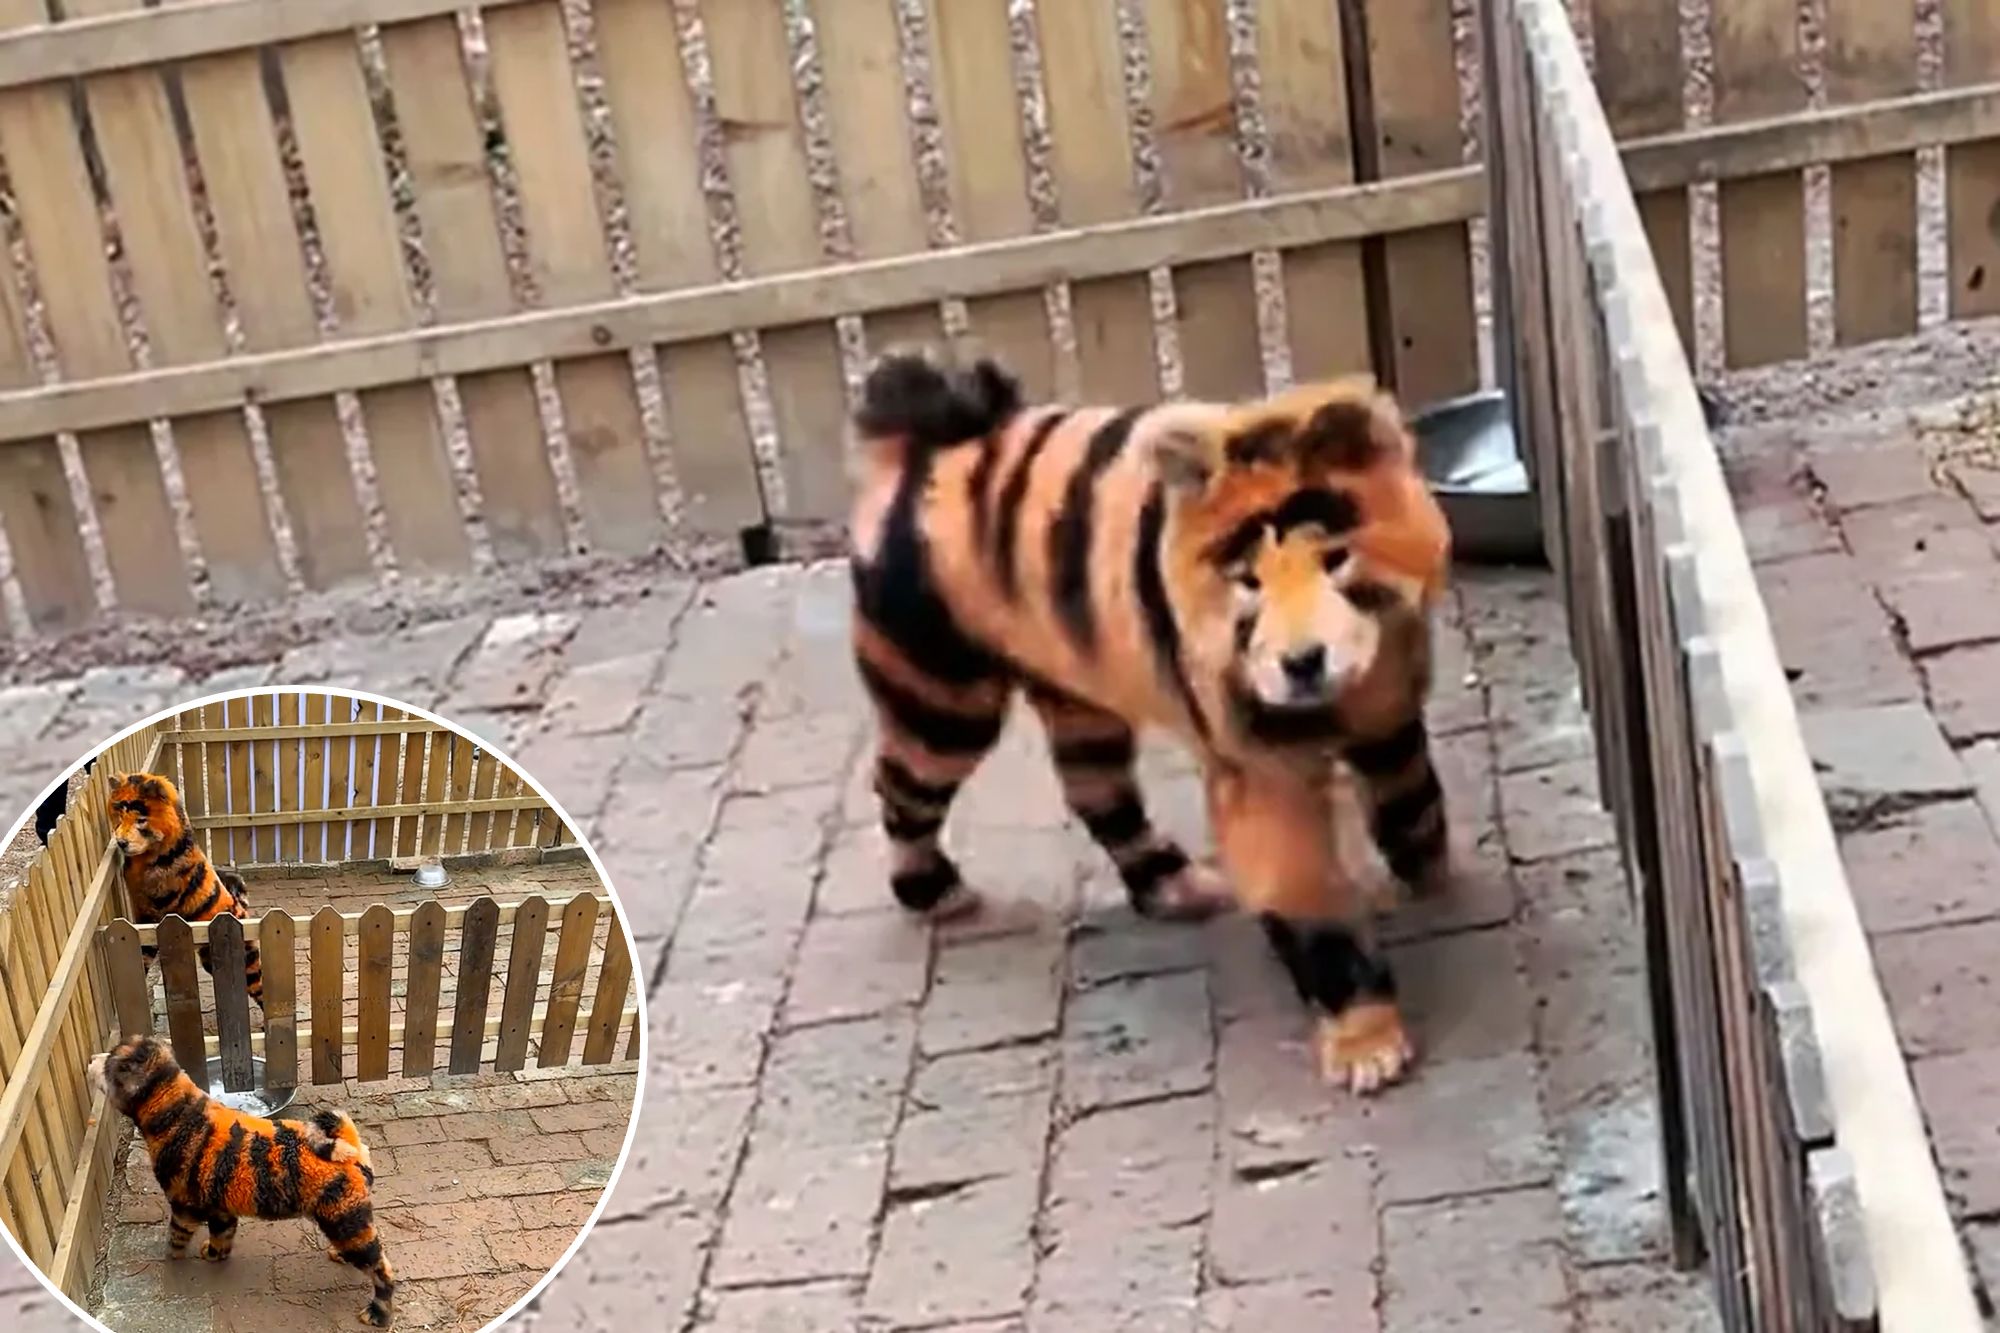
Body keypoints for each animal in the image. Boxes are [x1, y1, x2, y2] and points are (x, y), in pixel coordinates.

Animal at [89, 1033, 397, 1327]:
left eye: (112, 1063)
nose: (92, 1058)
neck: (180, 1114)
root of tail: (350, 1146)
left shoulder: (183, 1207)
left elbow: (175, 1238)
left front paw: (171, 1257)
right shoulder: (221, 1209)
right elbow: (221, 1237)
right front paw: (214, 1254)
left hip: (346, 1221)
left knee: (382, 1270)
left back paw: (377, 1314)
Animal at [108, 772, 264, 1005]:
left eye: (140, 820)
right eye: (119, 816)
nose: (121, 842)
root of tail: (242, 910)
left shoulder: (157, 915)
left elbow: (145, 951)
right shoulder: (141, 911)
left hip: (249, 965)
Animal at [847, 349, 1452, 1093]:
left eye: (1334, 557)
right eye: (1248, 580)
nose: (1302, 662)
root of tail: (914, 450)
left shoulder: (1390, 708)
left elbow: (1412, 794)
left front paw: (1429, 870)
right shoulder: (1260, 775)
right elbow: (1311, 899)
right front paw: (1368, 1051)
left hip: (1078, 703)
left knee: (1095, 792)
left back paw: (1181, 887)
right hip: (942, 696)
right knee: (900, 786)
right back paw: (939, 894)